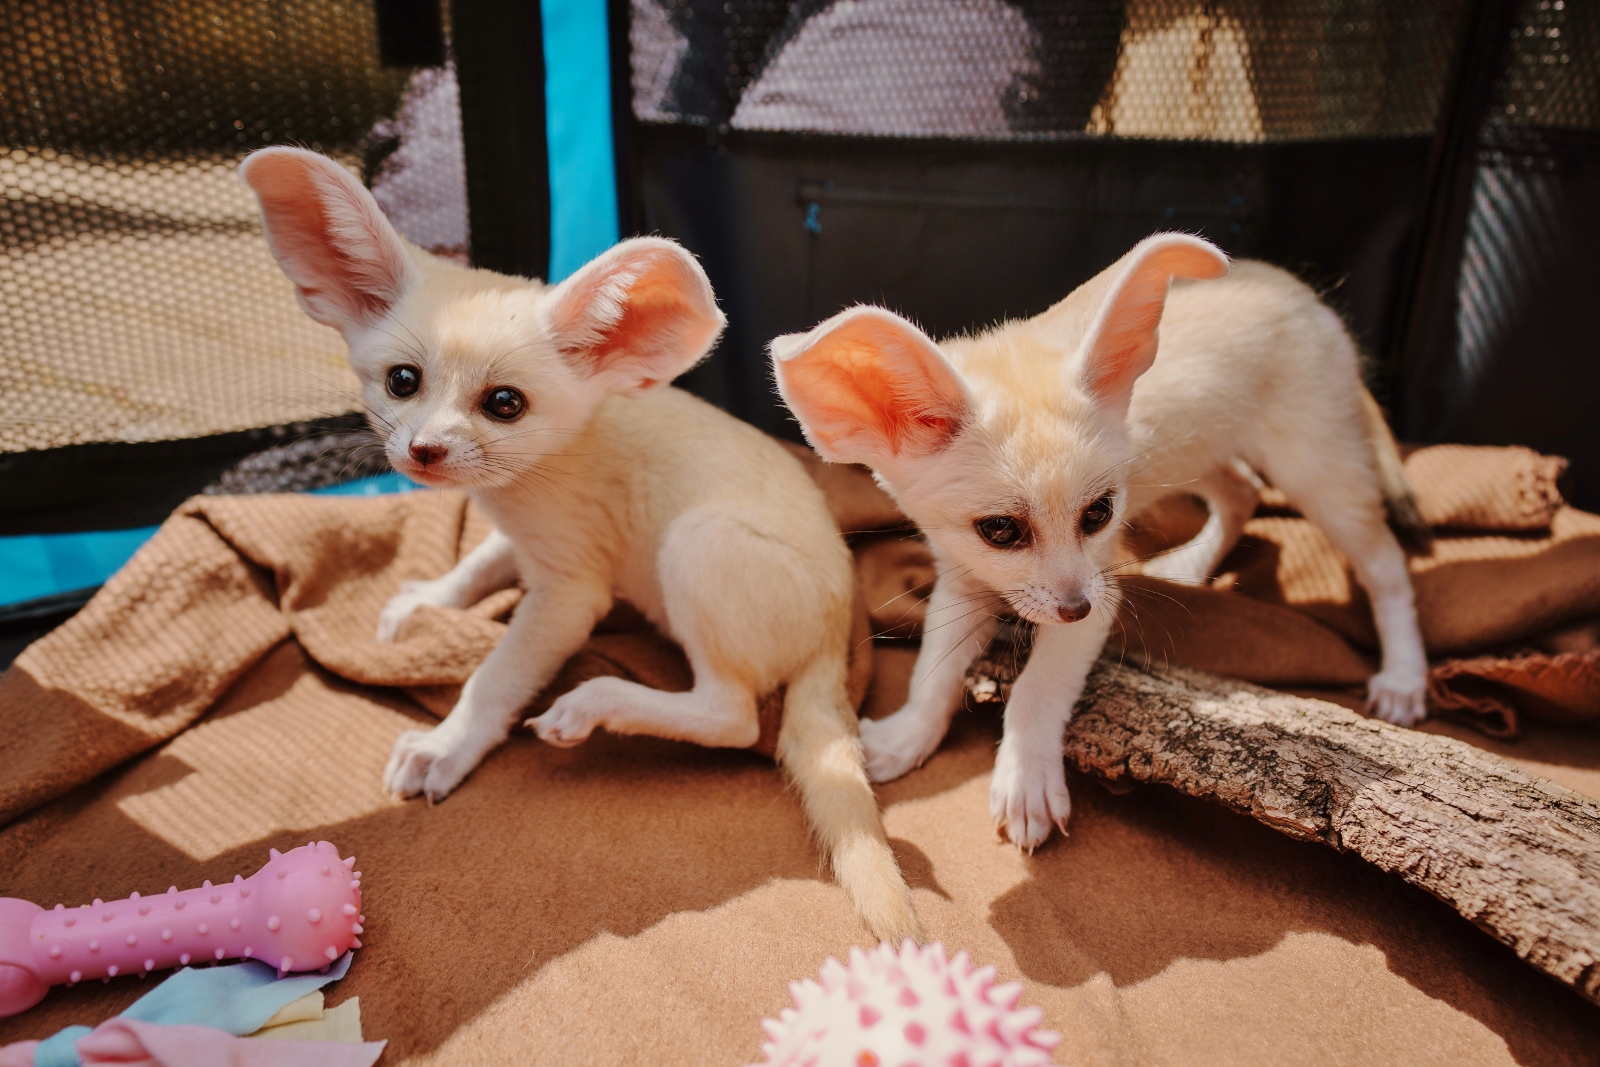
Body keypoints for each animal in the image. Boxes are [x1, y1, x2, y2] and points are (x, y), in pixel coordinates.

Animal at [240, 146, 921, 943]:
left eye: (505, 403)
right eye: (402, 381)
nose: (423, 451)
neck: (536, 474)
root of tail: (840, 627)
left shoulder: (570, 590)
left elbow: (494, 677)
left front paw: (447, 744)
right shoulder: (531, 538)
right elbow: (477, 563)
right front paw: (427, 600)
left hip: (695, 545)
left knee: (735, 716)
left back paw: (596, 703)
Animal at [770, 233, 1429, 850]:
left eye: (1099, 514)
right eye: (1000, 530)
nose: (1074, 608)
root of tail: (1296, 288)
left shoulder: (1099, 586)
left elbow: (1037, 686)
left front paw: (1027, 779)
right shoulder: (963, 579)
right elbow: (933, 668)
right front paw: (909, 735)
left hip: (1315, 470)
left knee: (1385, 562)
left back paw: (1403, 676)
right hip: (1193, 453)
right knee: (1242, 490)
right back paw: (1190, 566)